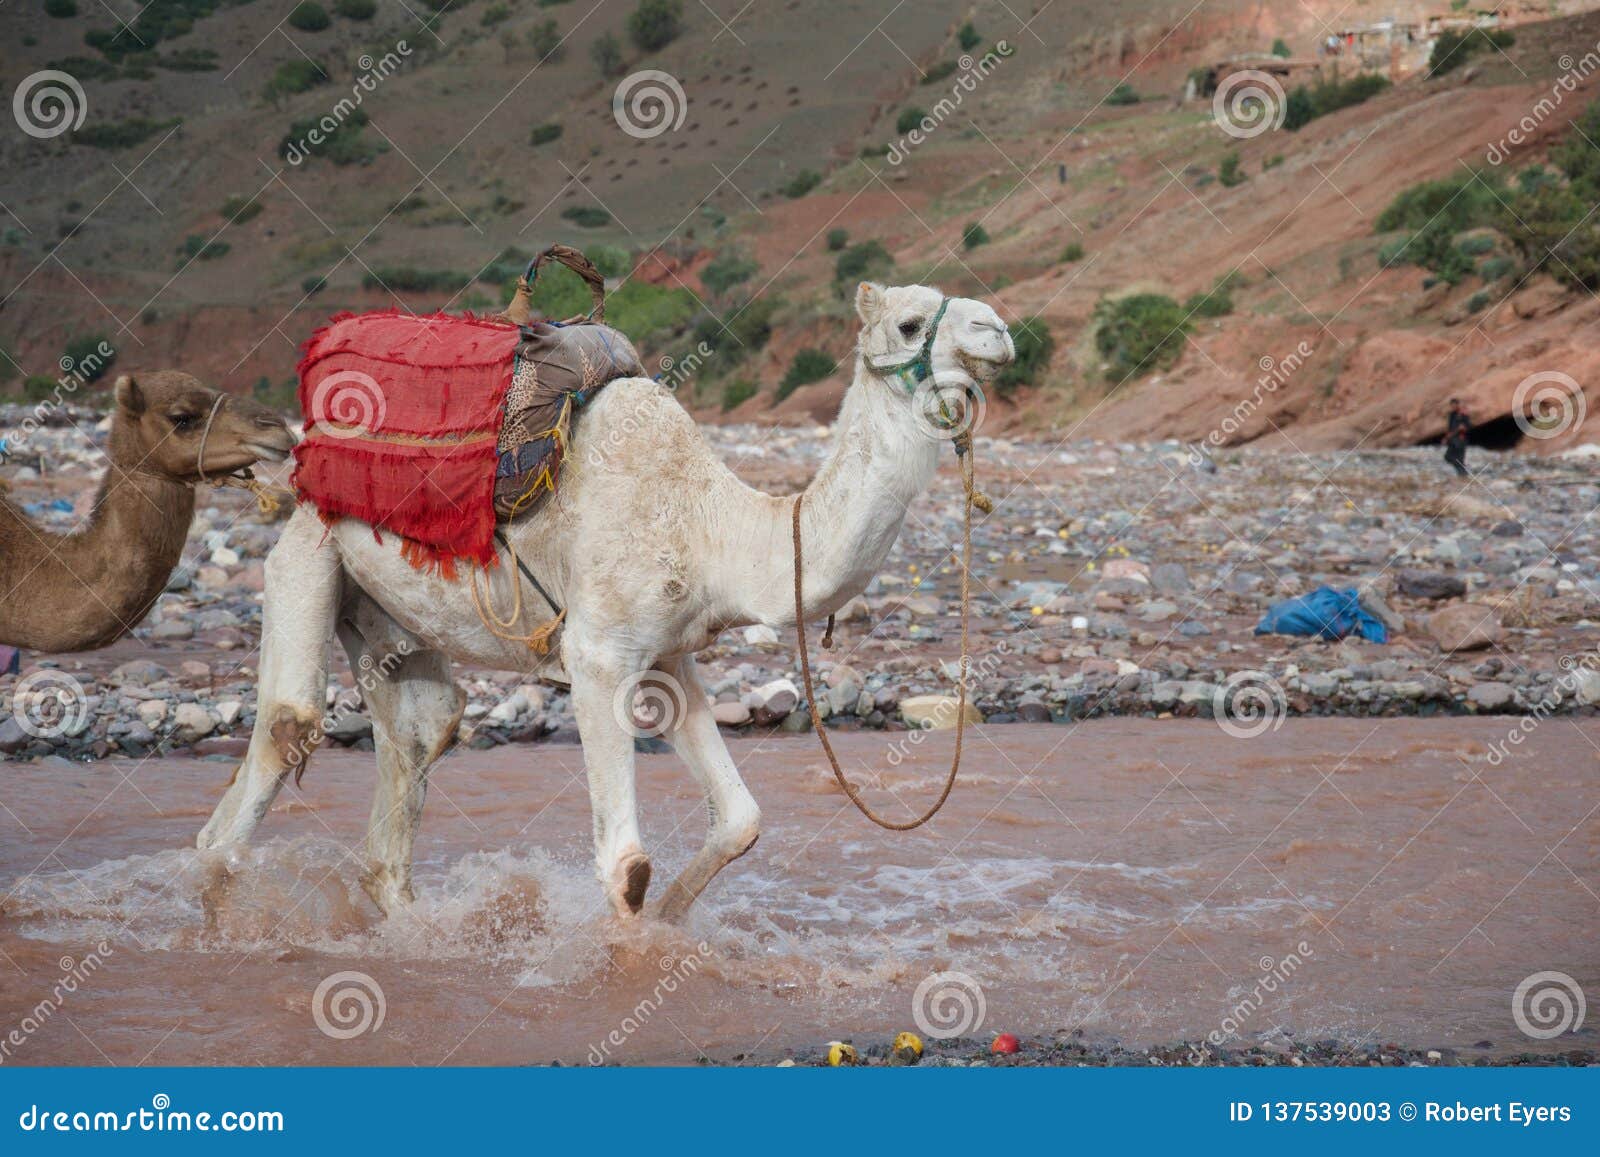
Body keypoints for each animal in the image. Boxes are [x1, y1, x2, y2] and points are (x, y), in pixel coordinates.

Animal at [196, 282, 1014, 920]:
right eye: (910, 322)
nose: (999, 330)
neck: (711, 524)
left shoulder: (669, 653)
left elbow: (739, 822)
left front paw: (674, 929)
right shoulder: (596, 654)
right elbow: (627, 868)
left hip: (386, 611)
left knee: (419, 737)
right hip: (309, 545)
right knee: (283, 733)